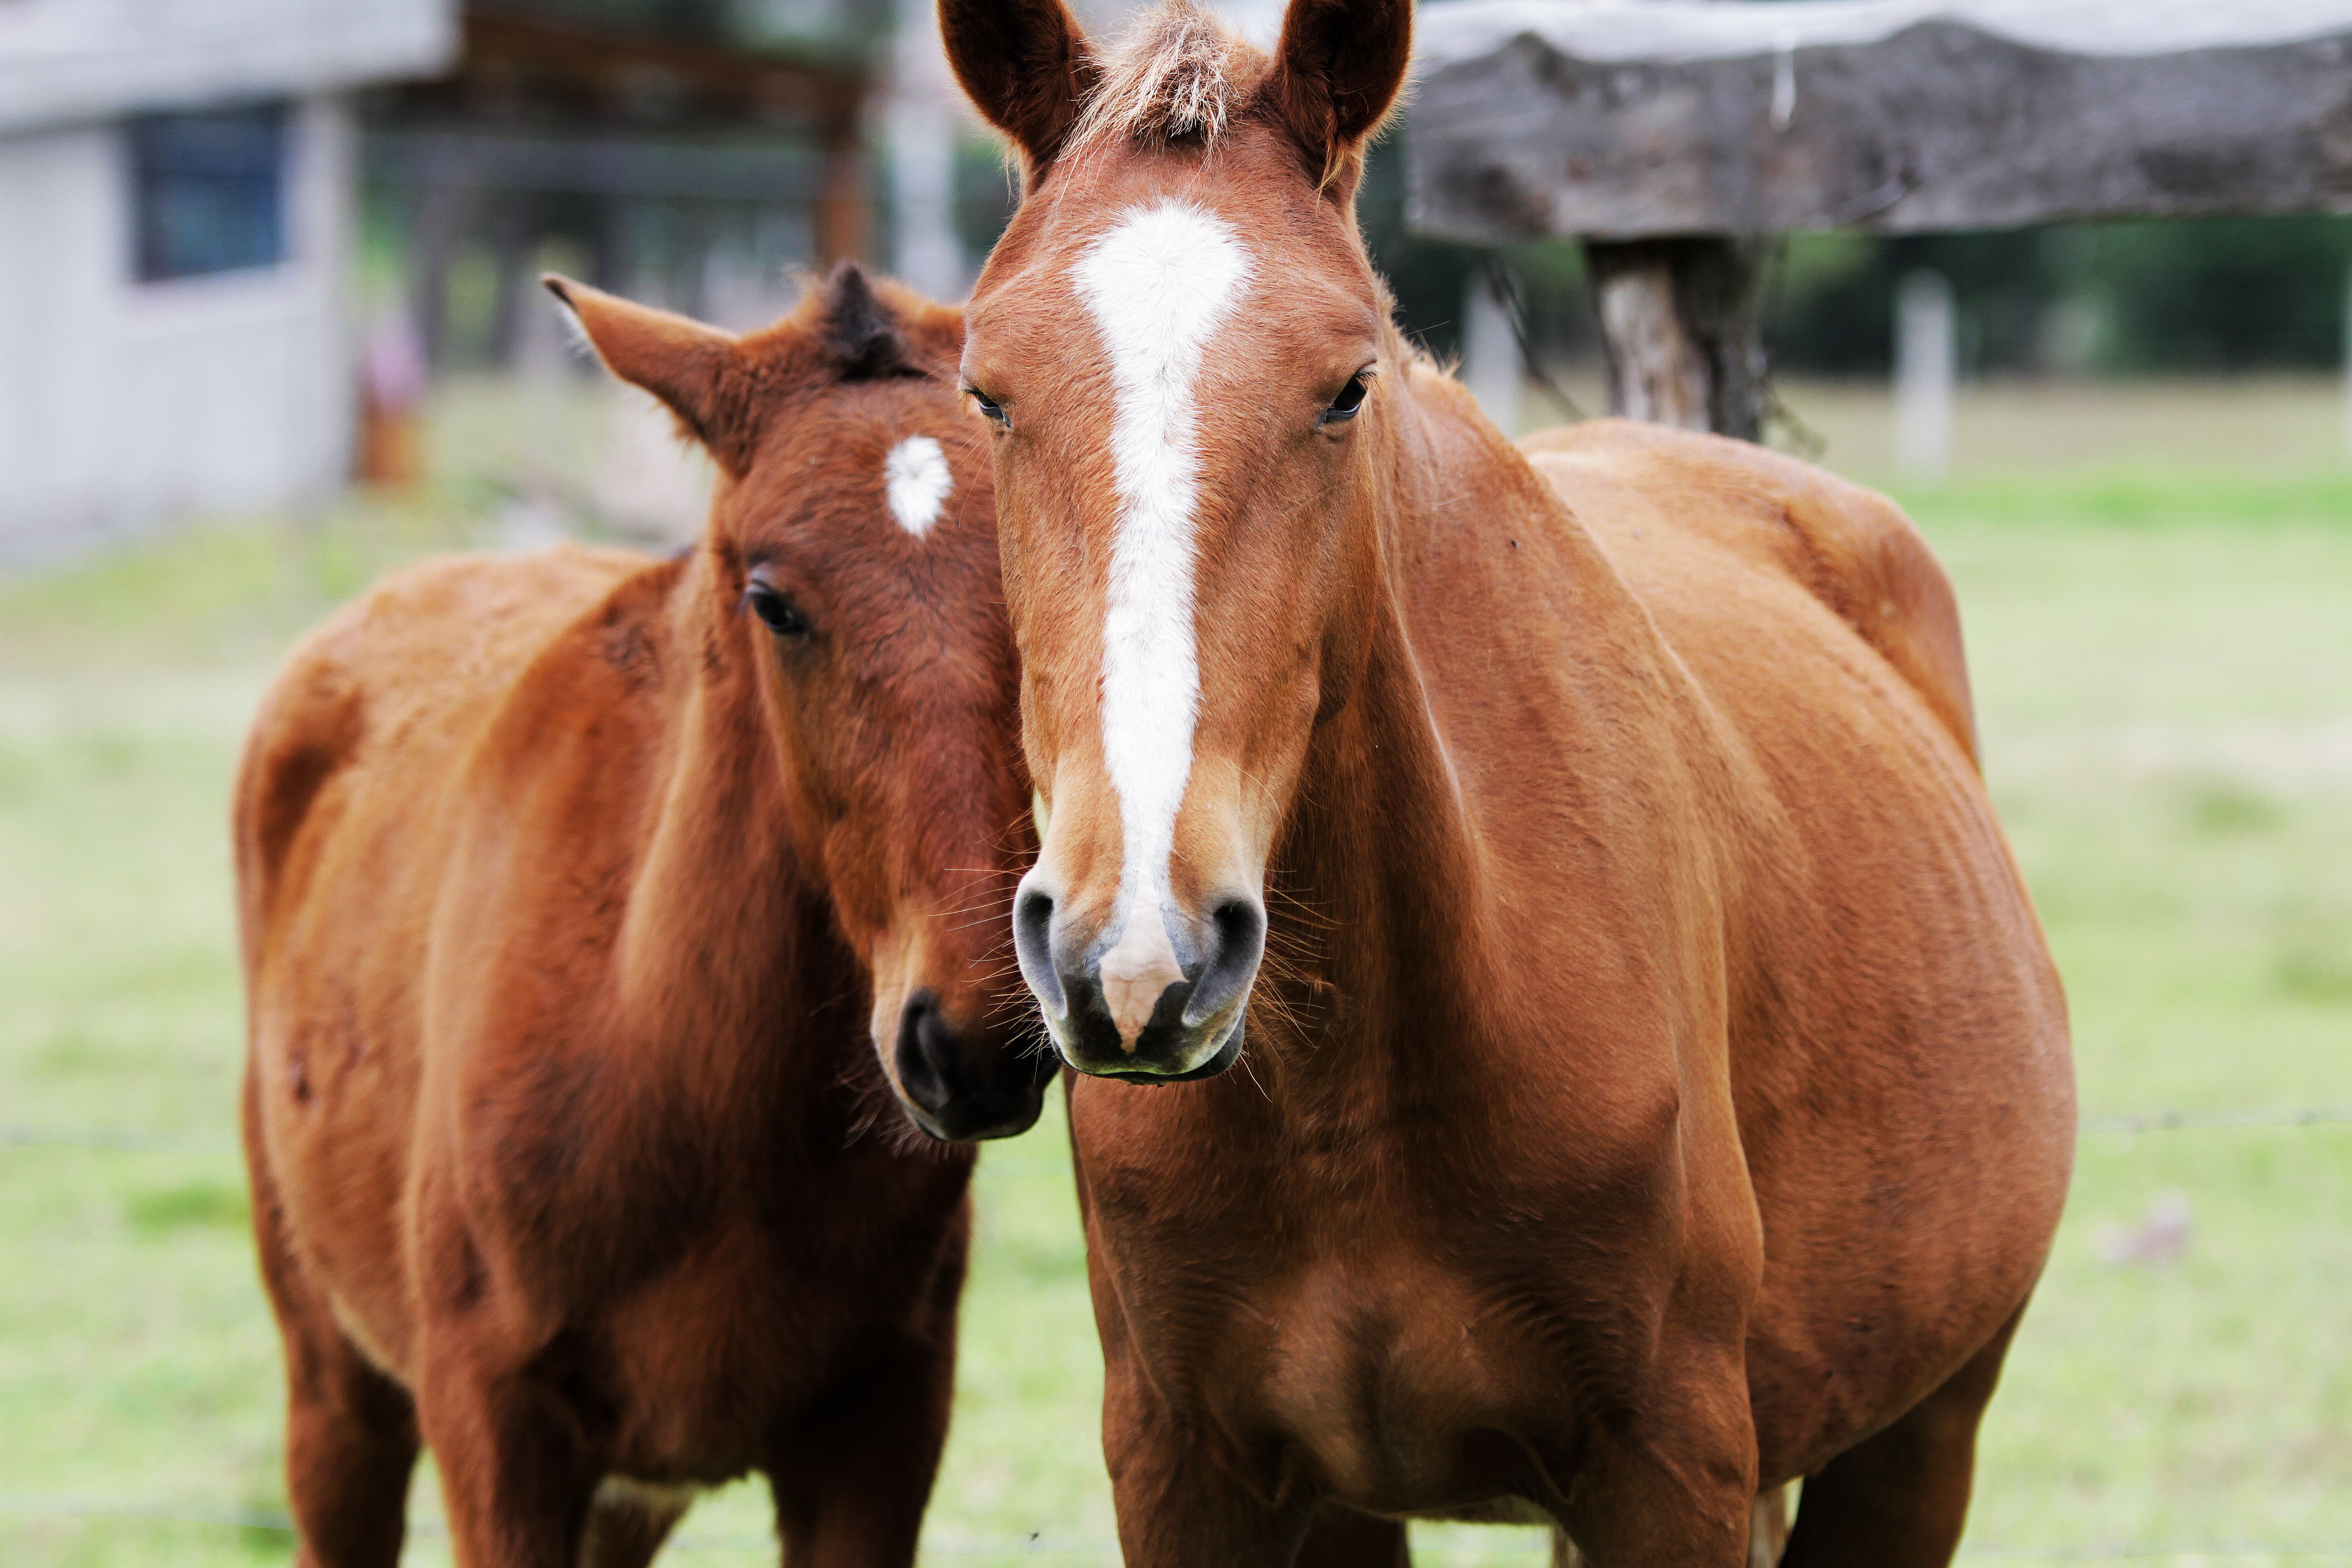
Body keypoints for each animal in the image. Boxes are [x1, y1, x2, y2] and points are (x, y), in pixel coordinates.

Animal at [938, 1, 2076, 1563]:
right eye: (988, 391)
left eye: (1348, 388)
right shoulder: (1192, 1472)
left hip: (1919, 1438)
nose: (1137, 955)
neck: (1364, 1087)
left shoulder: (1671, 1471)